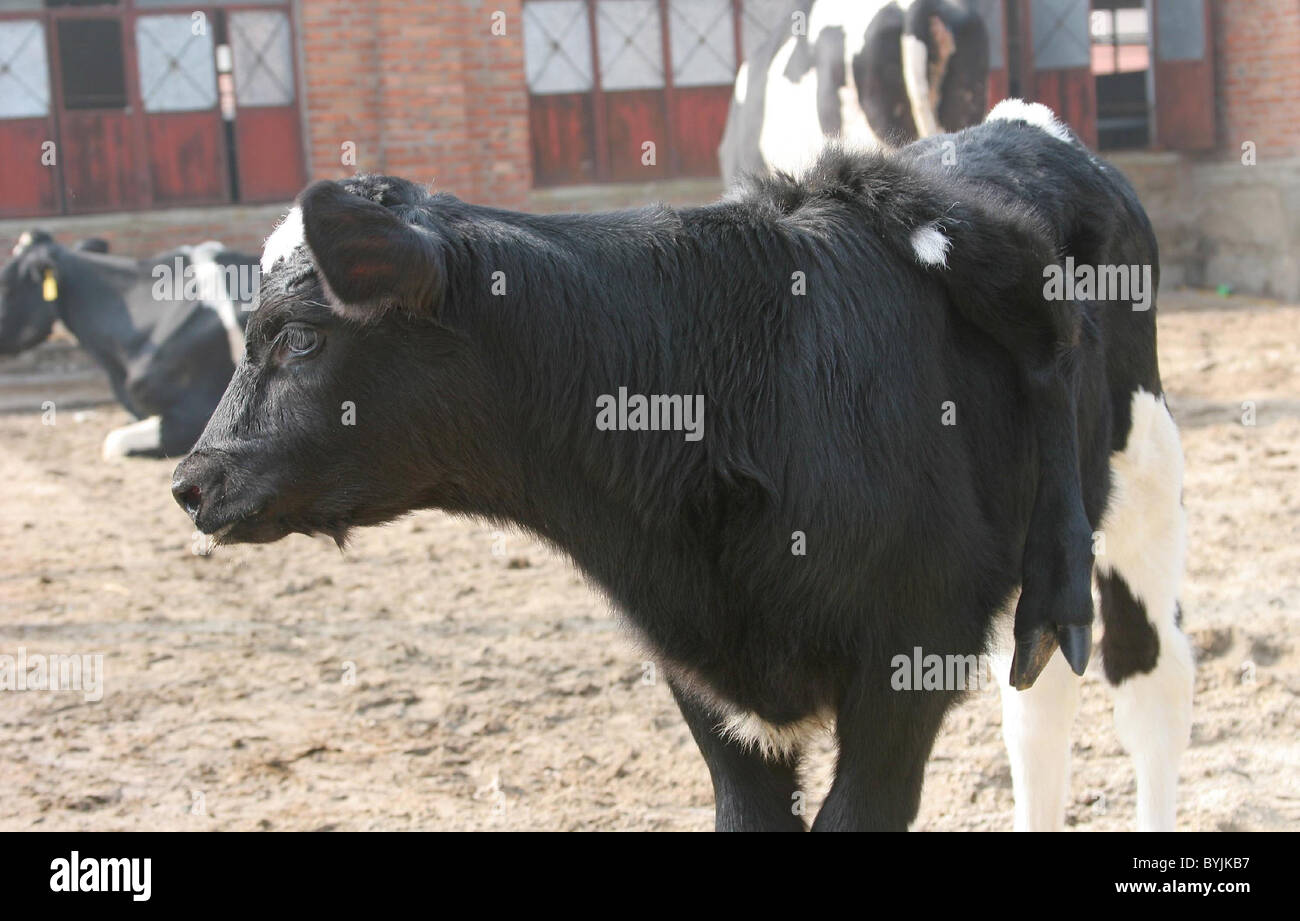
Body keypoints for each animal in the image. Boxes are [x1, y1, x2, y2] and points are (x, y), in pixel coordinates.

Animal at [172, 101, 1193, 831]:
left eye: (301, 337)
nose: (192, 481)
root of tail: (1023, 131)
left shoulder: (911, 655)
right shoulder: (702, 681)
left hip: (1141, 487)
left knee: (1149, 683)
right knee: (1042, 711)